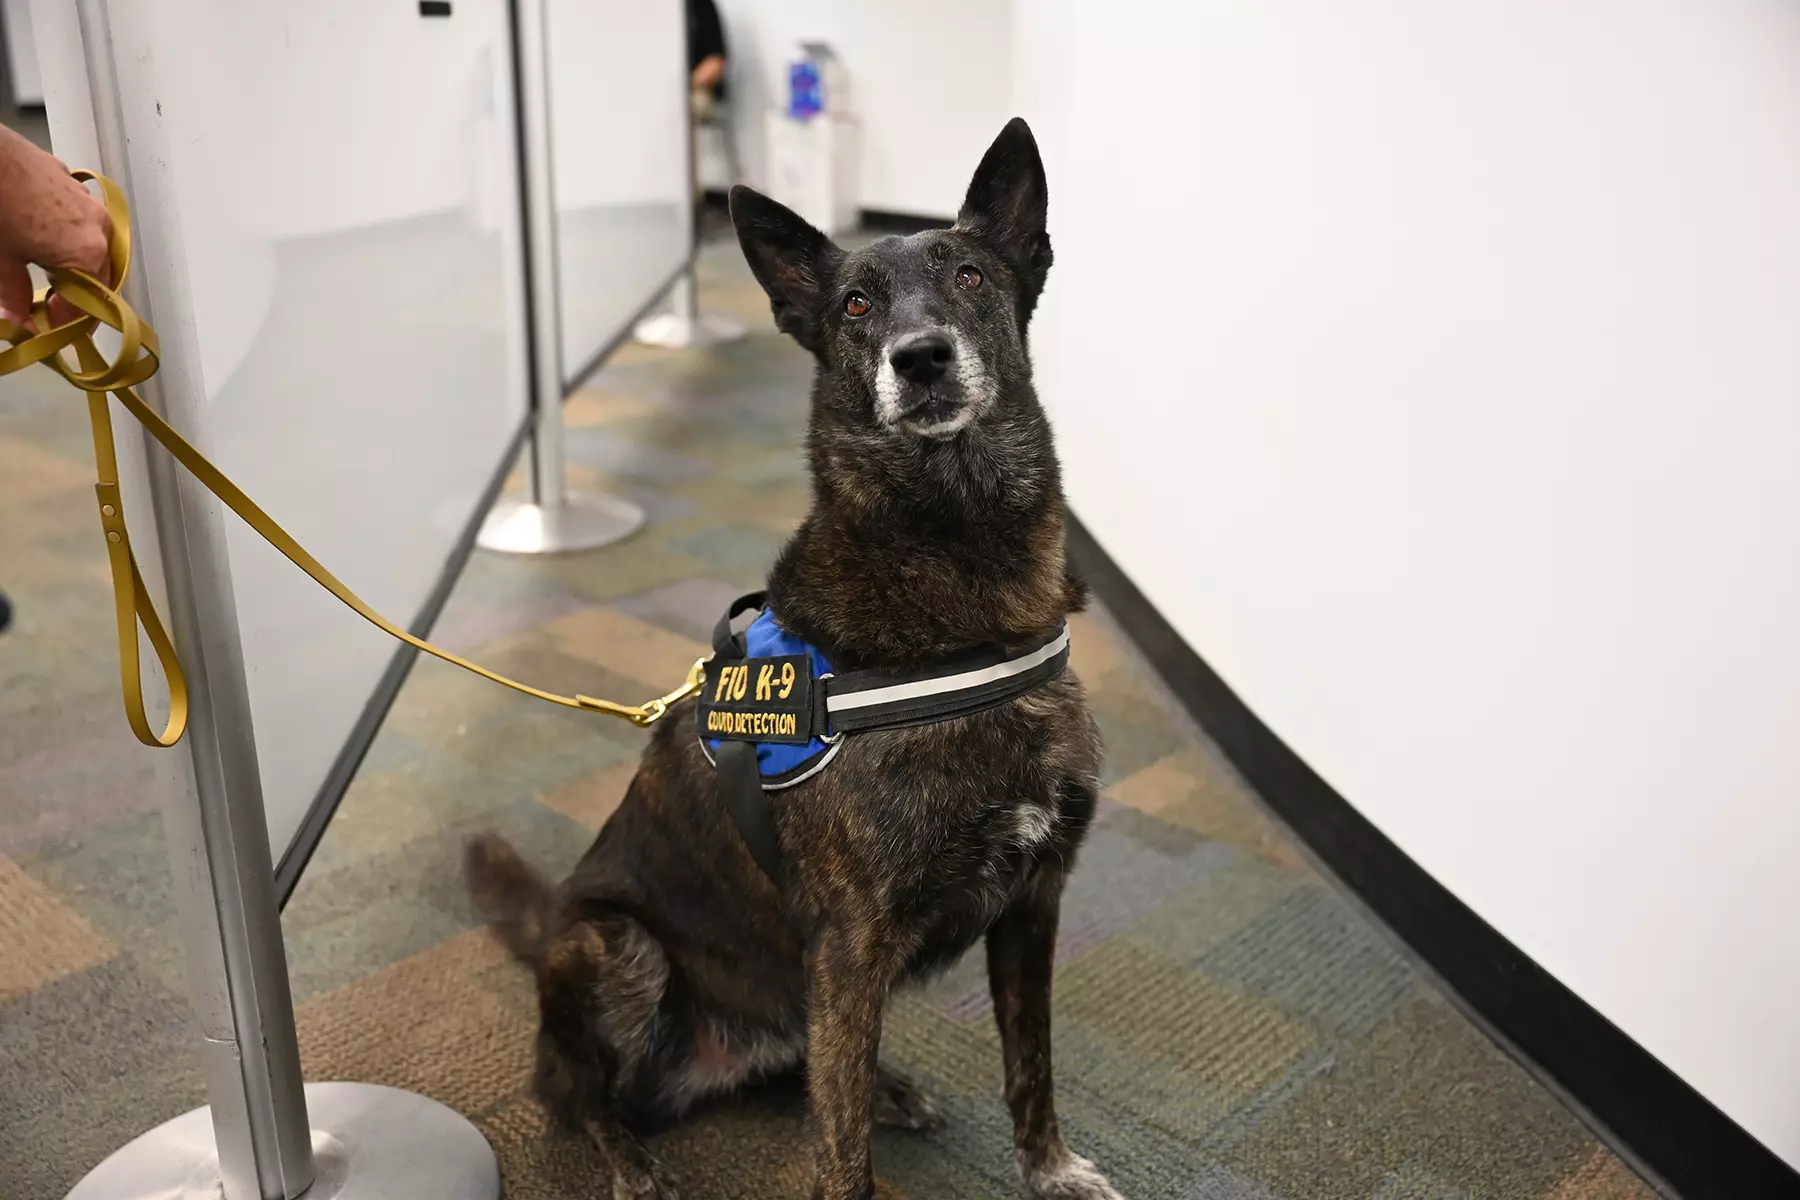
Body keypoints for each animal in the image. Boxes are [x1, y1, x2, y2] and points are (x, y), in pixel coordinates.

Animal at [457, 115, 1116, 1200]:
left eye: (972, 275)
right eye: (855, 303)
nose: (920, 358)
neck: (962, 580)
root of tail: (553, 918)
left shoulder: (1034, 904)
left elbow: (1035, 1063)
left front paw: (1051, 1168)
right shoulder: (850, 945)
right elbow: (839, 1157)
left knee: (800, 1069)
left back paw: (885, 1087)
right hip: (619, 946)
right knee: (583, 1094)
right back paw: (631, 1164)